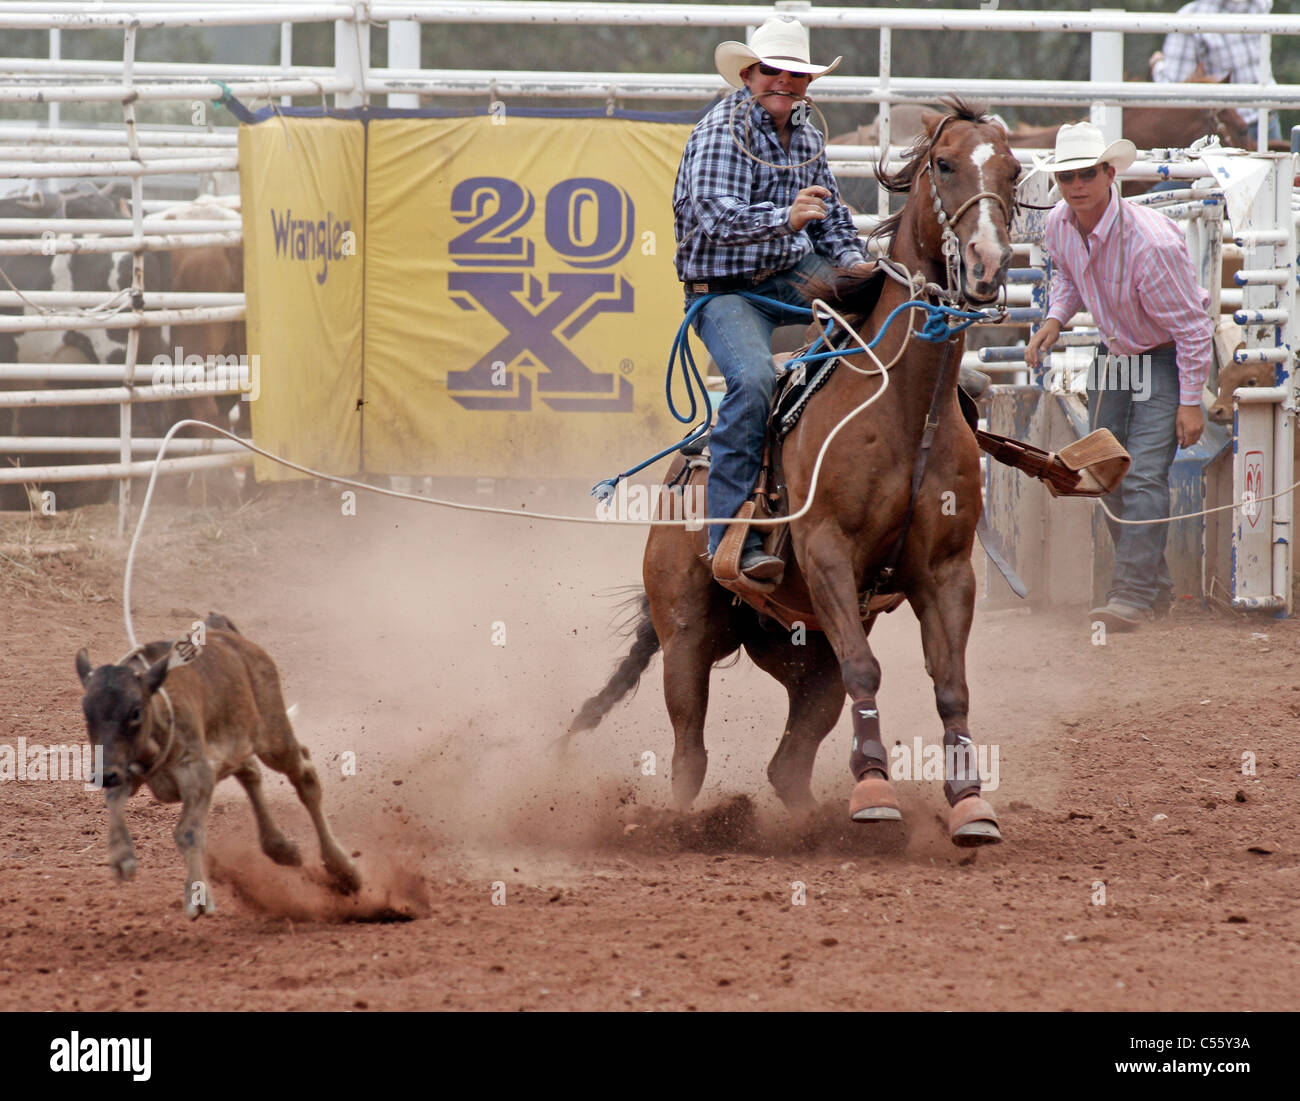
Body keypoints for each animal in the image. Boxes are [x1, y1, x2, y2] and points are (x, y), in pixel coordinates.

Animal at [75, 613, 361, 919]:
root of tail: (230, 635)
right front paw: (122, 859)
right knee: (250, 773)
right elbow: (115, 803)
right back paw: (282, 848)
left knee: (304, 776)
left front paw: (198, 898)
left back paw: (344, 870)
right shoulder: (122, 768)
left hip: (274, 738)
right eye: (87, 712)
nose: (102, 775)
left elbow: (187, 832)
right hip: (238, 744)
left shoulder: (197, 774)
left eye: (135, 712)